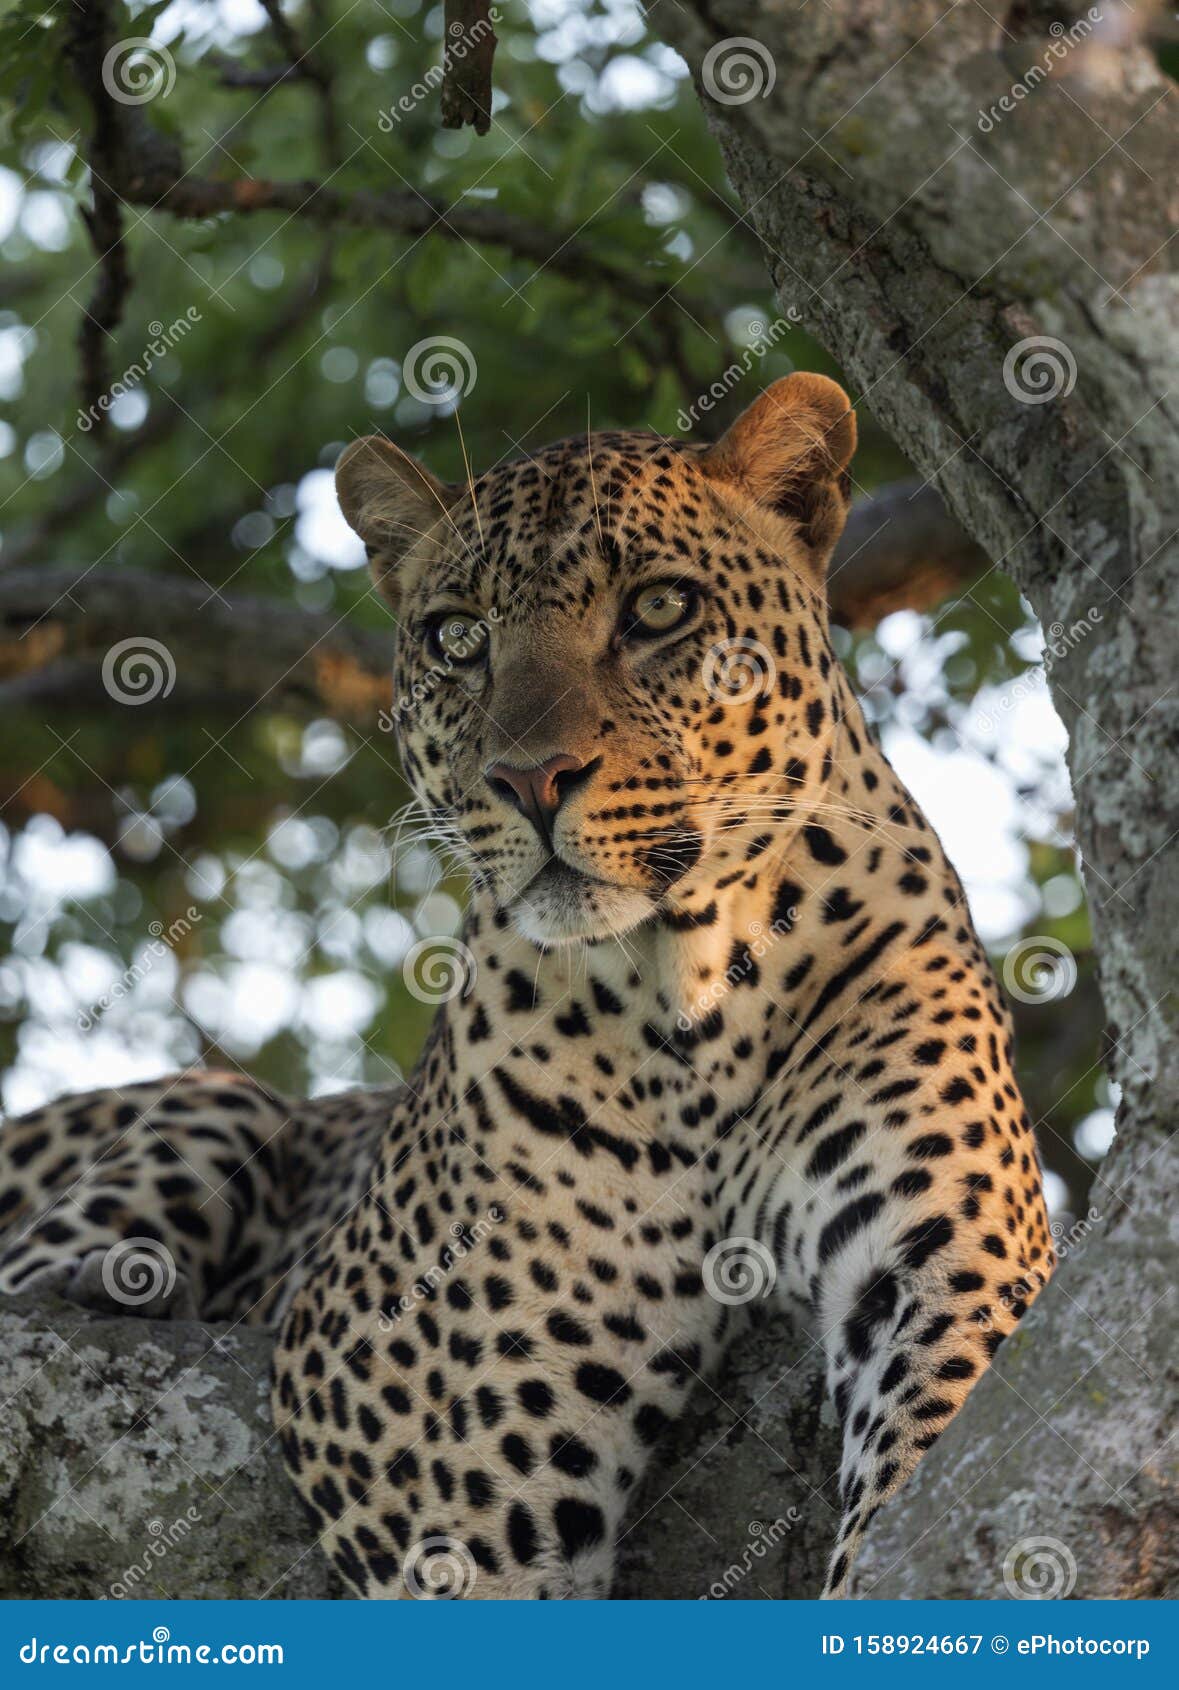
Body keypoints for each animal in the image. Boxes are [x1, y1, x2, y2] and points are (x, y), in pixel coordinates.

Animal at [0, 374, 1054, 1600]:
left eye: (658, 608)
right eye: (458, 637)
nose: (530, 779)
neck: (693, 1002)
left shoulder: (955, 1261)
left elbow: (941, 1474)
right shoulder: (430, 1430)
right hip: (215, 1107)